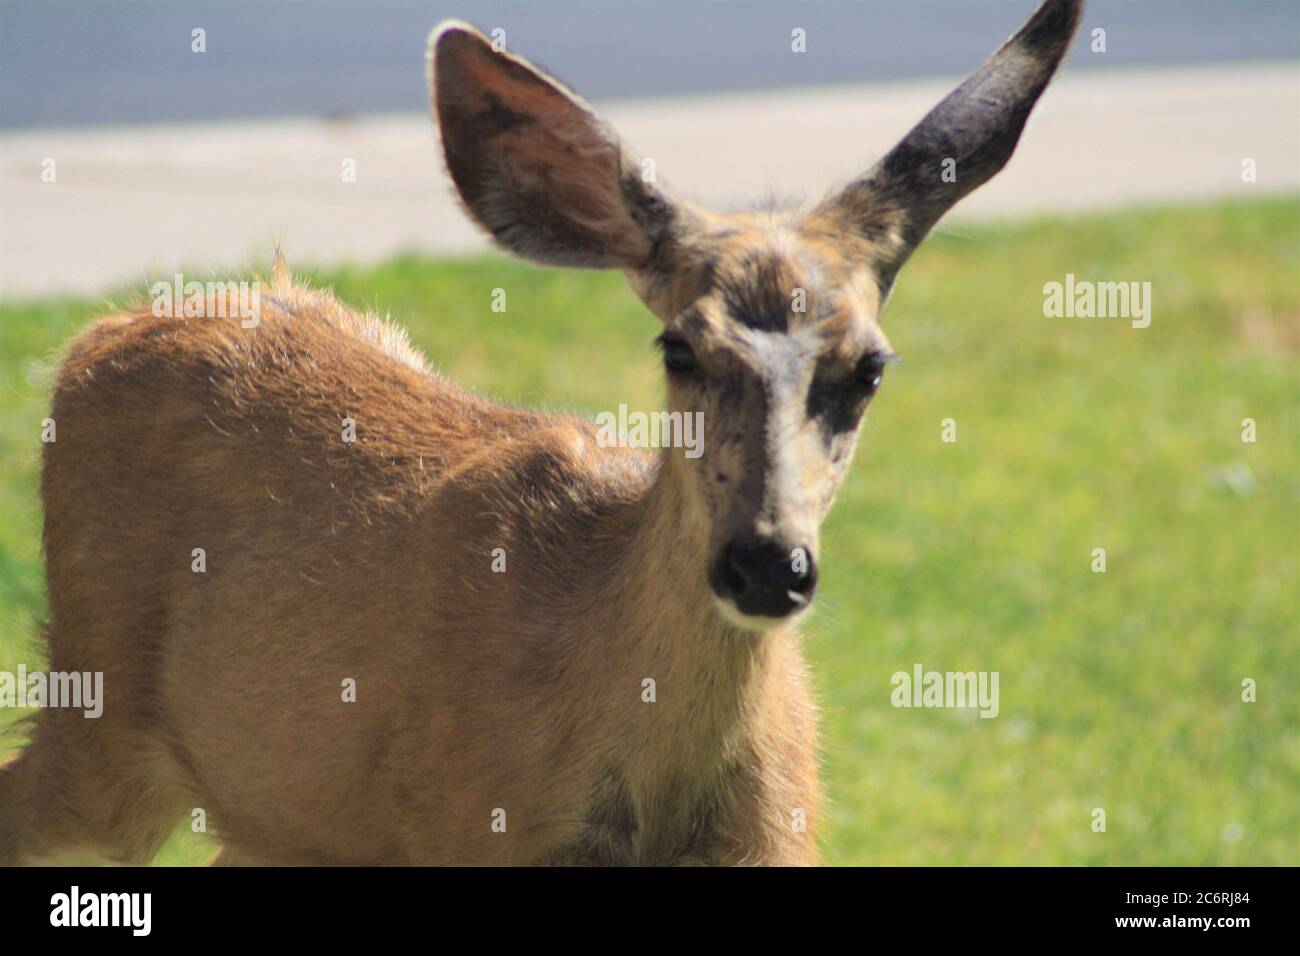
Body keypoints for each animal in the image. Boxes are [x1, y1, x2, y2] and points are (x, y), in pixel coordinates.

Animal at [0, 0, 1083, 866]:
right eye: (679, 347)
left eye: (868, 368)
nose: (764, 564)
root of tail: (106, 328)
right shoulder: (463, 825)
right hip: (100, 709)